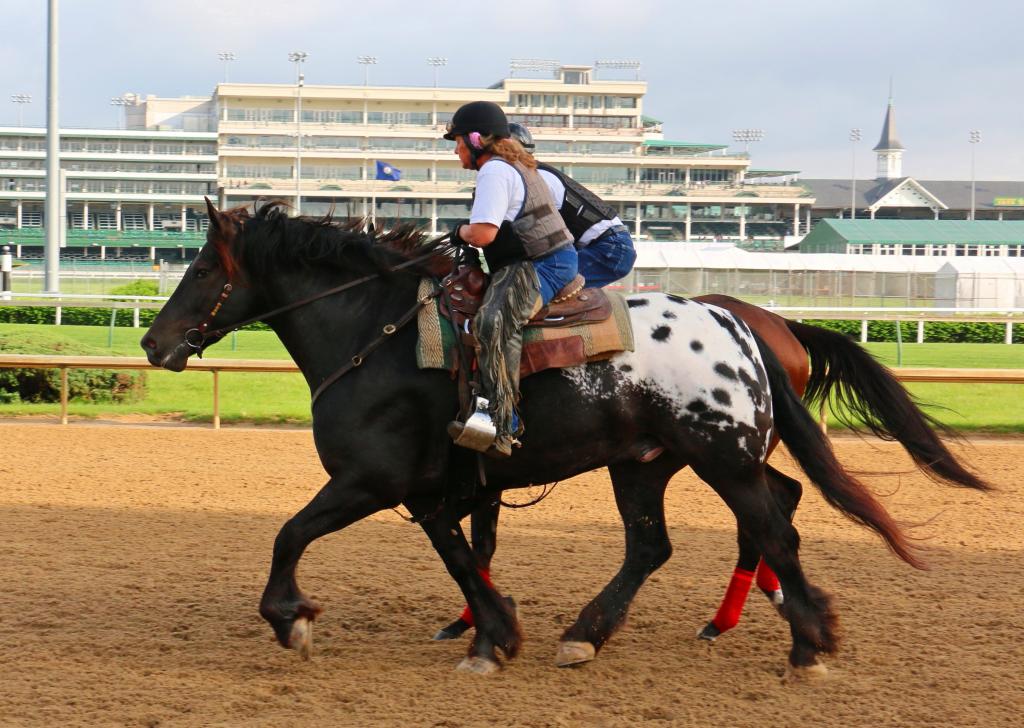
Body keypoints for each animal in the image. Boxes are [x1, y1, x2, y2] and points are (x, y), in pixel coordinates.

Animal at [435, 293, 990, 643]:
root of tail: (778, 327)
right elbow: (481, 539)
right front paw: (473, 617)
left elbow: (476, 540)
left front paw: (475, 618)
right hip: (726, 452)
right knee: (783, 499)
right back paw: (765, 597)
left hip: (725, 453)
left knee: (766, 514)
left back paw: (747, 608)